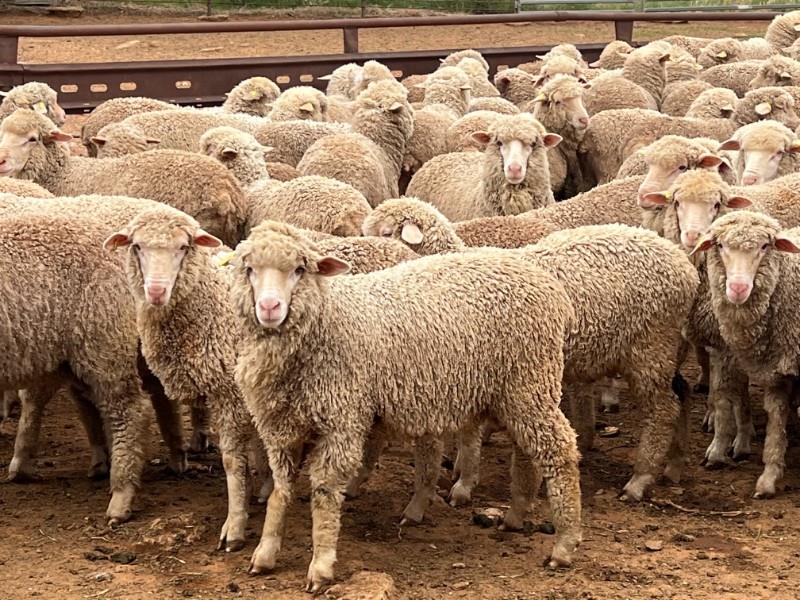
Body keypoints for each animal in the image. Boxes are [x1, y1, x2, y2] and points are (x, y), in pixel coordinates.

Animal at [104, 206, 262, 552]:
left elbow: (232, 461)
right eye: (137, 246)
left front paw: (235, 526)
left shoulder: (228, 392)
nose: (156, 291)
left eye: (182, 247)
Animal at [231, 221, 581, 589]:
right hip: (513, 392)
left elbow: (325, 492)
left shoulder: (341, 420)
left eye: (300, 269)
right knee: (526, 450)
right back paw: (516, 514)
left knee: (559, 450)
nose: (270, 307)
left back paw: (565, 542)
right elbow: (280, 488)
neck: (326, 320)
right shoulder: (279, 427)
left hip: (530, 380)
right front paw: (266, 552)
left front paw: (321, 564)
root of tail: (550, 288)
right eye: (249, 269)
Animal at [363, 199, 699, 501]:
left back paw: (640, 479)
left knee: (664, 409)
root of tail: (686, 269)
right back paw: (674, 465)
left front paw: (464, 481)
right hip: (668, 349)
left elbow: (470, 433)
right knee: (682, 392)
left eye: (385, 233)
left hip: (651, 348)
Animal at [692, 210, 800, 497]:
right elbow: (775, 418)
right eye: (720, 245)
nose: (738, 288)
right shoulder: (774, 368)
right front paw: (769, 476)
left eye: (764, 247)